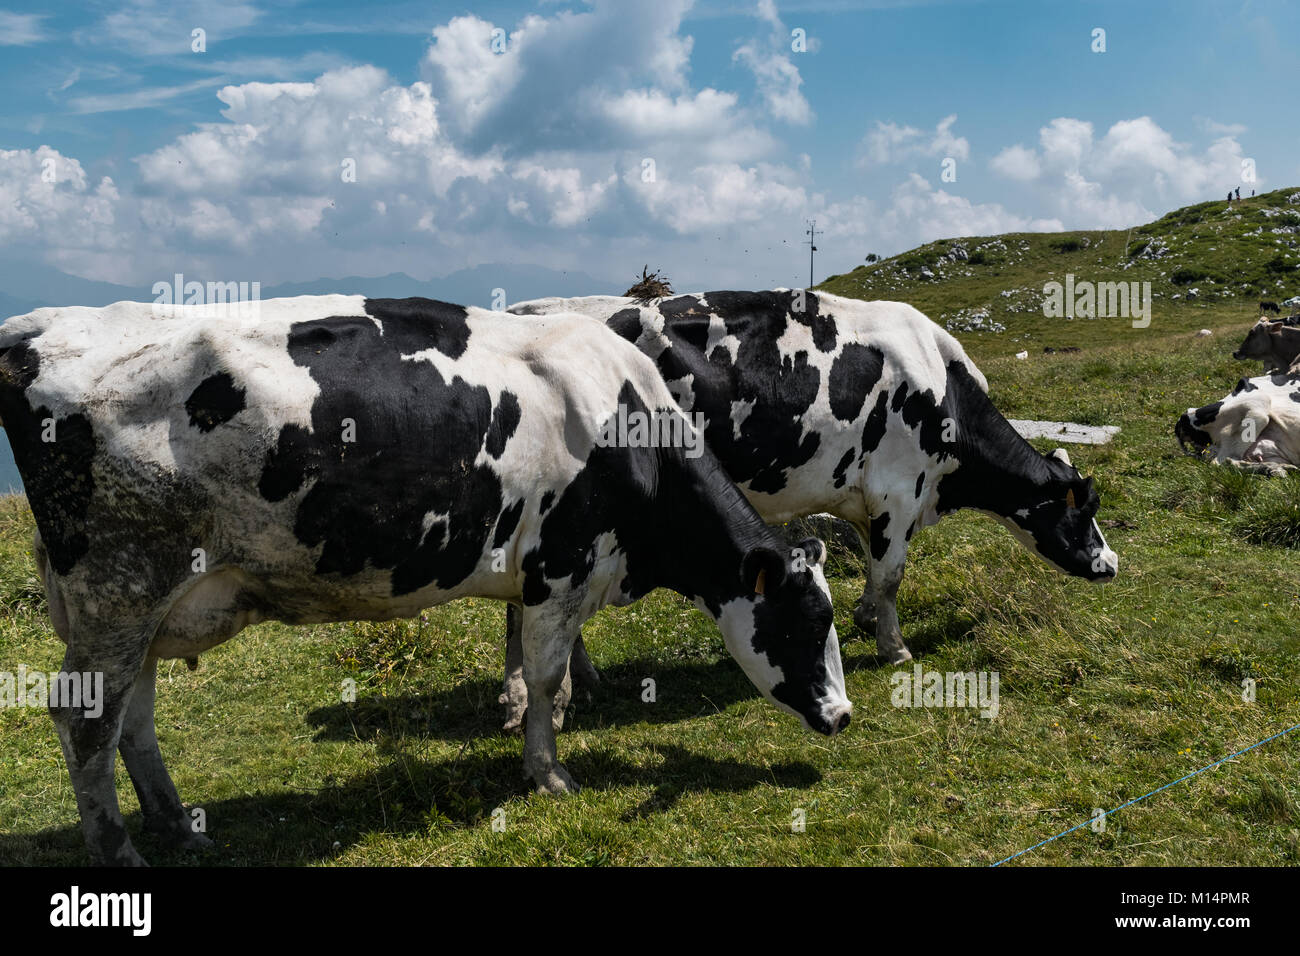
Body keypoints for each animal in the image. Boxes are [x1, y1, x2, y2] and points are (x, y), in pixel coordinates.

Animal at [0, 295, 850, 866]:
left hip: (147, 603)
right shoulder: (564, 566)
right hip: (121, 585)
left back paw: (175, 824)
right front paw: (549, 774)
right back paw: (118, 851)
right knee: (86, 718)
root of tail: (35, 329)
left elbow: (529, 668)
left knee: (131, 718)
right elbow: (545, 675)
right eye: (808, 623)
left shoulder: (534, 575)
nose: (842, 716)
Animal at [502, 290, 1118, 729]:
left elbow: (874, 566)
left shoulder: (866, 498)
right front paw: (894, 648)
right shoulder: (899, 489)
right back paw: (526, 697)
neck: (942, 389)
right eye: (1085, 510)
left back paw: (578, 677)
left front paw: (866, 616)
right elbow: (892, 573)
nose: (1112, 564)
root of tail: (526, 310)